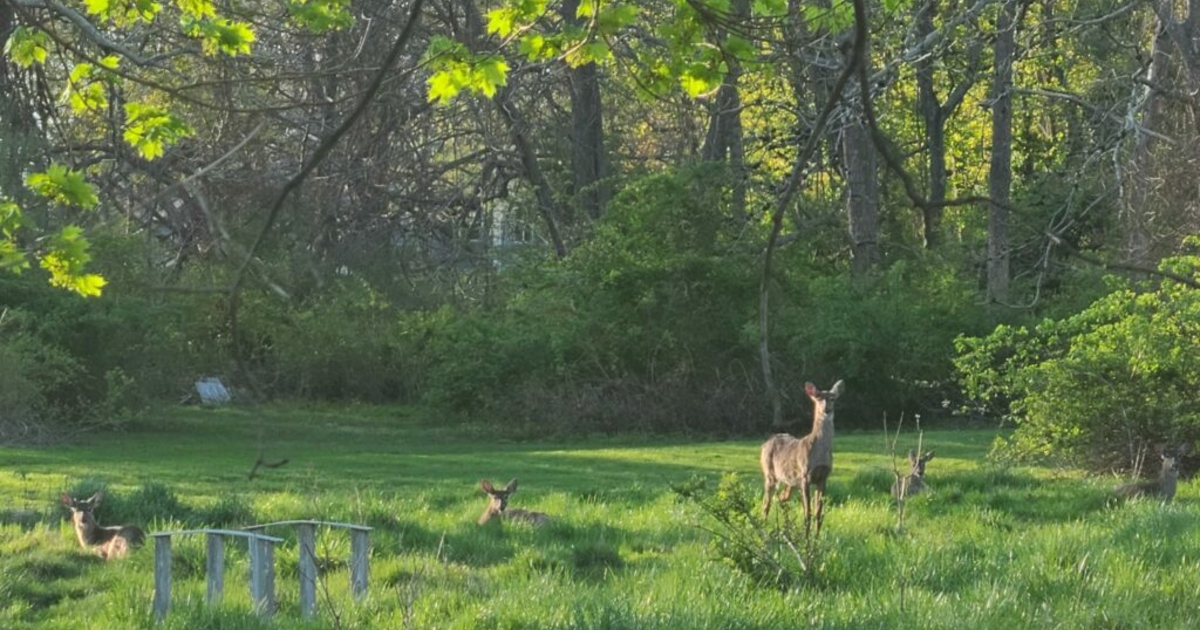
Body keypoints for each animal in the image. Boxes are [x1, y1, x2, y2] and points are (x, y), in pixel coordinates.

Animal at [760, 379, 845, 539]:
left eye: (832, 398)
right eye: (818, 397)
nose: (827, 410)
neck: (819, 455)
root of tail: (765, 444)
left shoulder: (823, 477)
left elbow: (818, 512)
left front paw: (816, 538)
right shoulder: (805, 477)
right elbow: (808, 512)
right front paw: (806, 539)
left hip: (790, 481)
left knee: (782, 499)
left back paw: (787, 529)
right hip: (770, 474)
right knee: (766, 503)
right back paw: (764, 529)